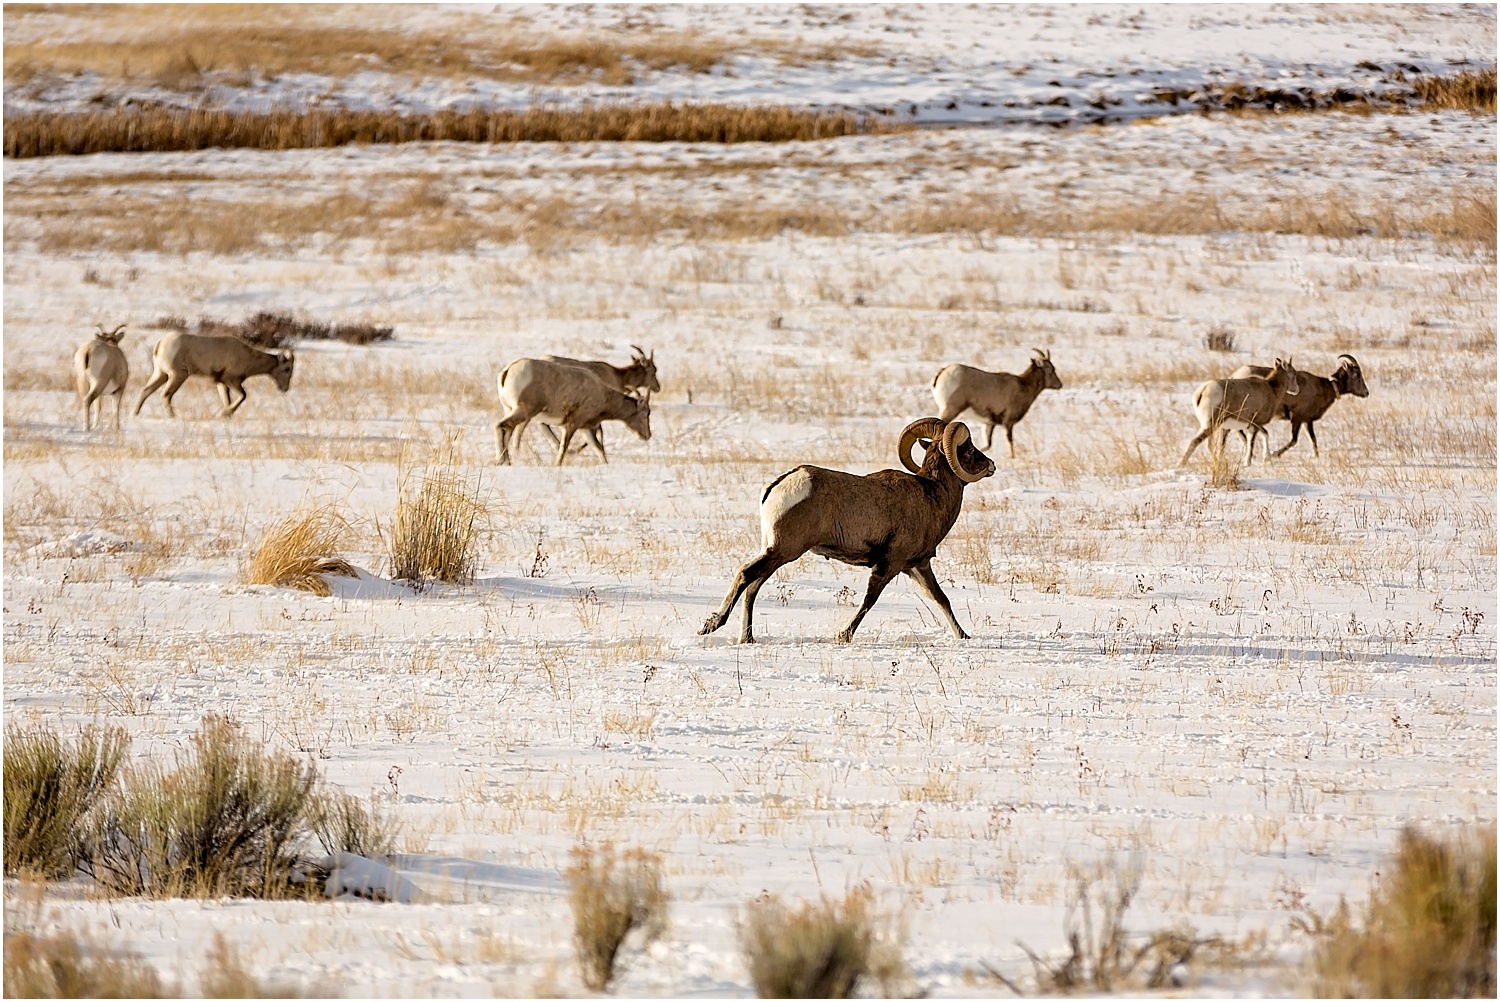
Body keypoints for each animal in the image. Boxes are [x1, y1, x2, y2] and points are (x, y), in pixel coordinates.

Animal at [134, 331, 295, 418]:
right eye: (287, 369)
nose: (285, 388)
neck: (247, 357)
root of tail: (160, 344)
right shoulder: (231, 381)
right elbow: (243, 396)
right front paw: (224, 413)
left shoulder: (221, 384)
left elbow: (227, 400)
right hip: (177, 375)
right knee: (166, 395)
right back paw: (173, 416)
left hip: (161, 374)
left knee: (145, 390)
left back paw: (134, 414)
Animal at [494, 357, 652, 466]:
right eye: (646, 413)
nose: (647, 435)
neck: (602, 392)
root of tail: (508, 371)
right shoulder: (572, 424)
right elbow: (563, 448)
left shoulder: (584, 428)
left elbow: (598, 449)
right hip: (523, 411)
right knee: (501, 426)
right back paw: (501, 461)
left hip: (510, 410)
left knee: (508, 429)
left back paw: (506, 462)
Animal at [698, 417, 995, 645]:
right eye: (969, 449)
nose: (991, 465)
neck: (932, 494)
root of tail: (781, 484)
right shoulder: (889, 565)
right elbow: (869, 601)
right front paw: (844, 636)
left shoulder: (917, 566)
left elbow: (942, 599)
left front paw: (963, 636)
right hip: (784, 551)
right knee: (745, 574)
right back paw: (712, 625)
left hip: (776, 553)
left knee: (752, 586)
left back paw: (747, 638)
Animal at [931, 349, 1063, 457]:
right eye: (1052, 369)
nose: (1060, 385)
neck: (1023, 387)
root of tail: (942, 373)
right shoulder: (1008, 423)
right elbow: (1010, 441)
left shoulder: (989, 424)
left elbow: (987, 445)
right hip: (951, 410)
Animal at [1229, 355, 1368, 457]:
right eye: (1357, 376)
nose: (1366, 393)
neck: (1324, 388)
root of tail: (1236, 375)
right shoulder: (1297, 419)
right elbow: (1294, 440)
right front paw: (1273, 455)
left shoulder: (1307, 421)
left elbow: (1313, 440)